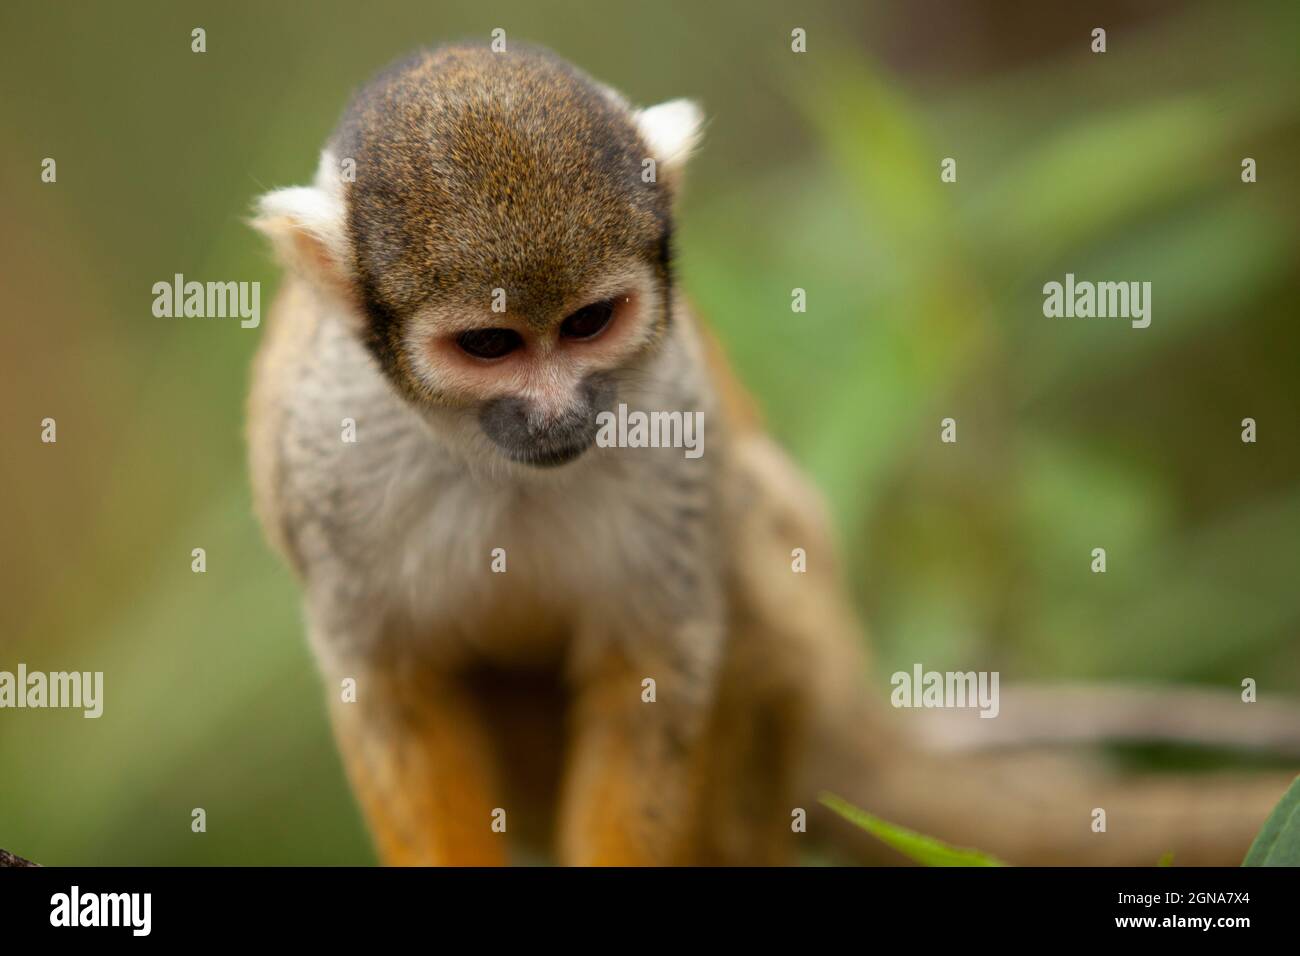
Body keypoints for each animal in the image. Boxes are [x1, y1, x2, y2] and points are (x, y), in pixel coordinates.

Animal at [248, 44, 1293, 866]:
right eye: (490, 345)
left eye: (588, 324)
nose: (559, 413)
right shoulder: (325, 456)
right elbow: (392, 692)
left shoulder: (673, 414)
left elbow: (656, 672)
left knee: (744, 532)